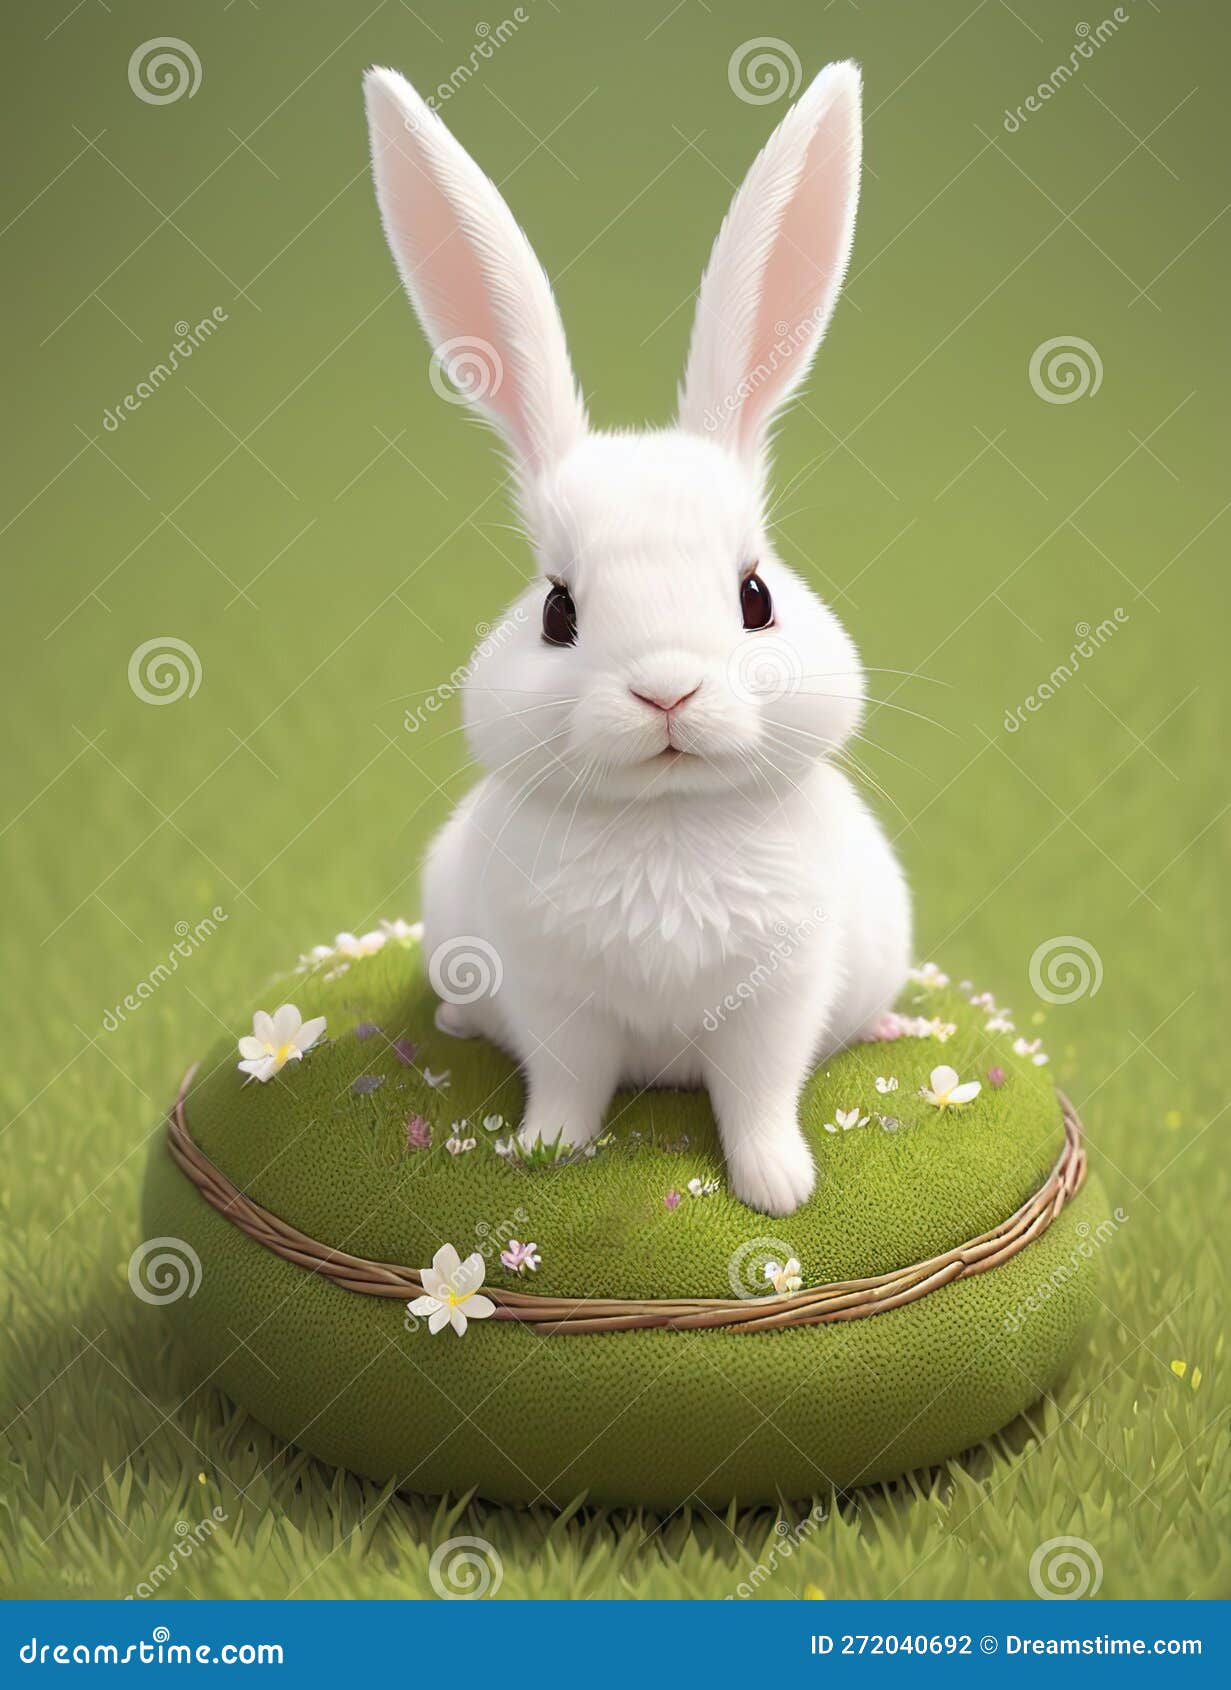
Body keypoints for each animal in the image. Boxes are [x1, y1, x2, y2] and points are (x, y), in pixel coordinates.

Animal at [363, 60, 911, 1216]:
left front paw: (778, 1189)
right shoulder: (554, 999)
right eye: (556, 611)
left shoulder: (775, 1004)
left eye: (755, 596)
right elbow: (567, 1081)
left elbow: (757, 1096)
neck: (666, 823)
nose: (666, 693)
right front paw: (541, 1153)